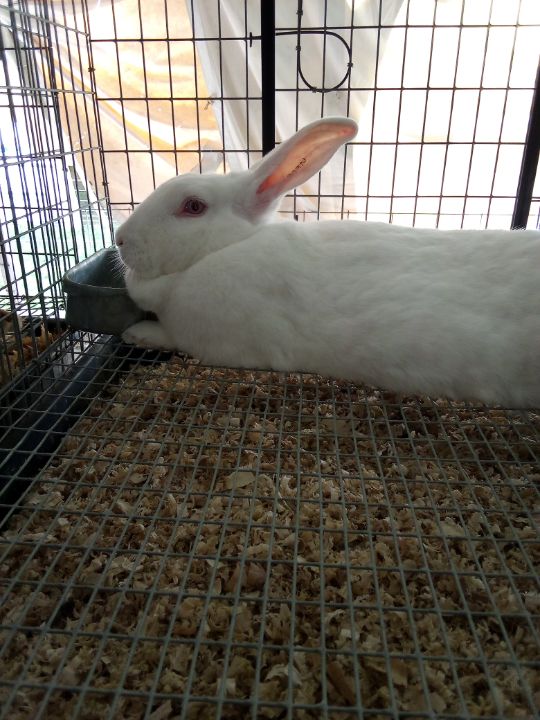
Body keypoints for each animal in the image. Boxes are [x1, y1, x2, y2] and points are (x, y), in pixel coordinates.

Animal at [115, 116, 540, 408]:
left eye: (193, 206)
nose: (119, 240)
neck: (221, 250)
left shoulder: (211, 341)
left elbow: (169, 337)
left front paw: (136, 332)